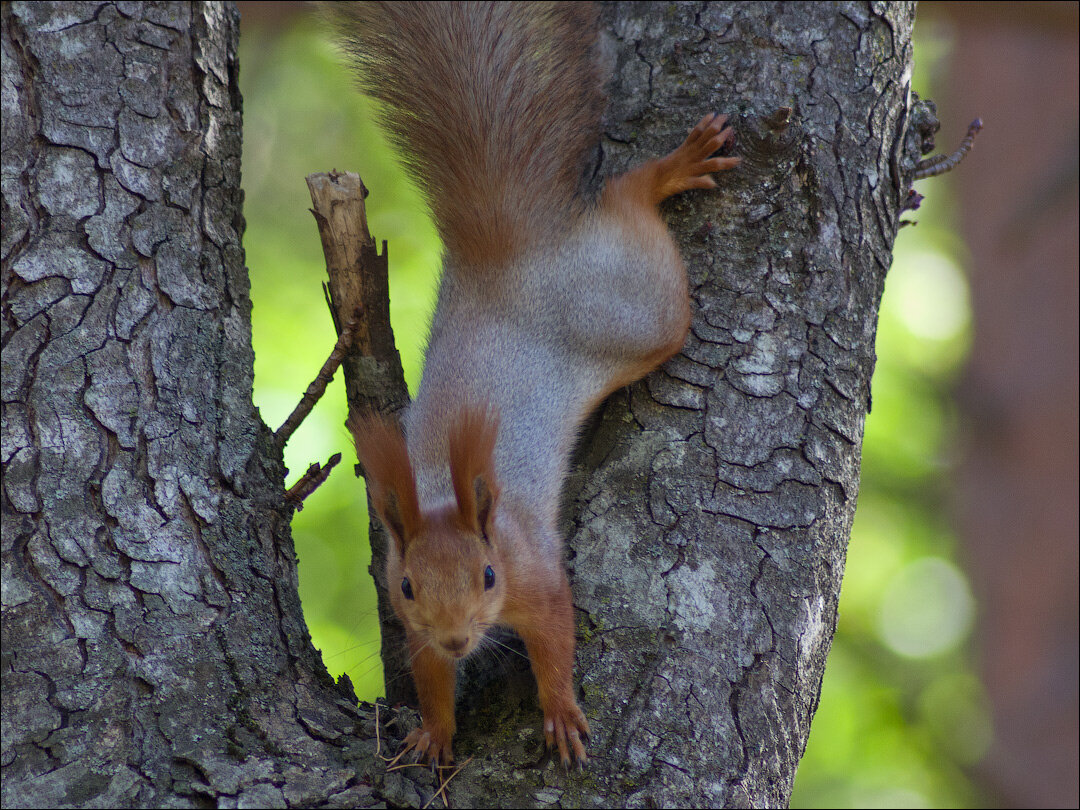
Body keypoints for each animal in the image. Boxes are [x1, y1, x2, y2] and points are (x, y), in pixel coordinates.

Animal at [330, 3, 743, 768]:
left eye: (489, 576)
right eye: (406, 586)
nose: (458, 637)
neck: (452, 497)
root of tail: (507, 254)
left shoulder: (535, 572)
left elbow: (555, 638)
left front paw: (562, 713)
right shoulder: (414, 626)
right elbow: (431, 677)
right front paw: (433, 733)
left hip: (641, 312)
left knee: (626, 202)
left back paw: (672, 169)